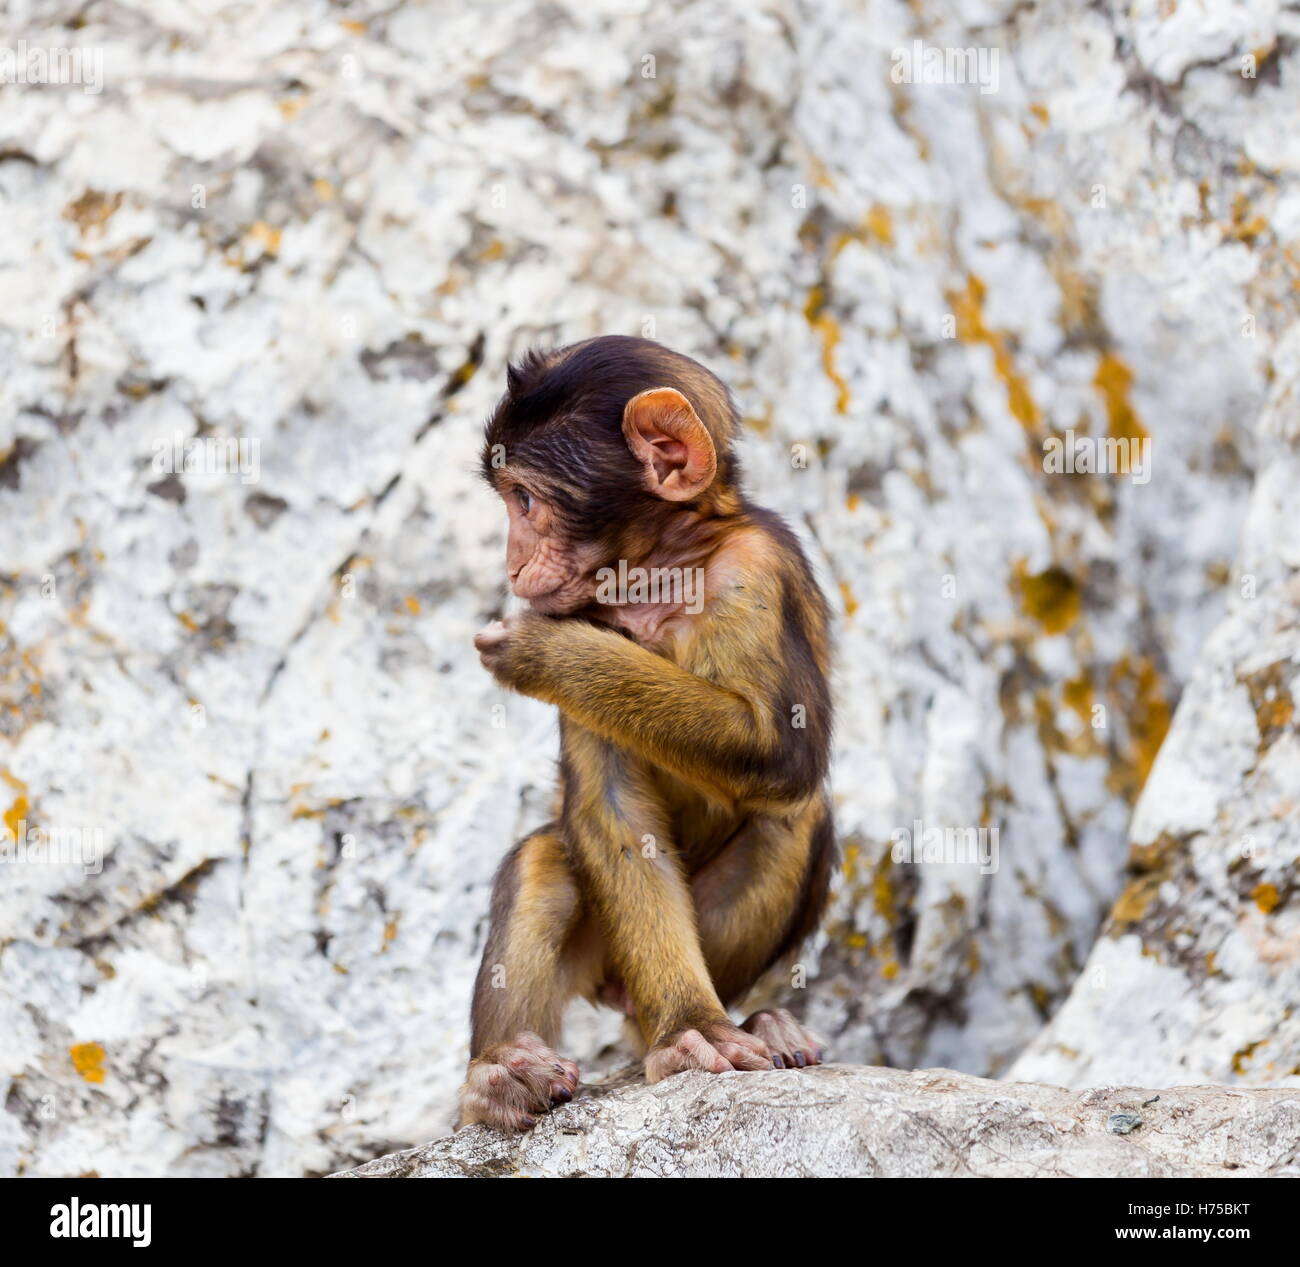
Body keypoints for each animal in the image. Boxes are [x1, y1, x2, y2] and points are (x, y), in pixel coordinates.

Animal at [458, 335, 836, 1130]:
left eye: (525, 500)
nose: (512, 562)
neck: (662, 574)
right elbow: (615, 810)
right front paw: (692, 1026)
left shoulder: (758, 569)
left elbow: (781, 753)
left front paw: (546, 651)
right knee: (547, 857)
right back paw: (501, 1073)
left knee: (797, 811)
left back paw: (754, 1023)